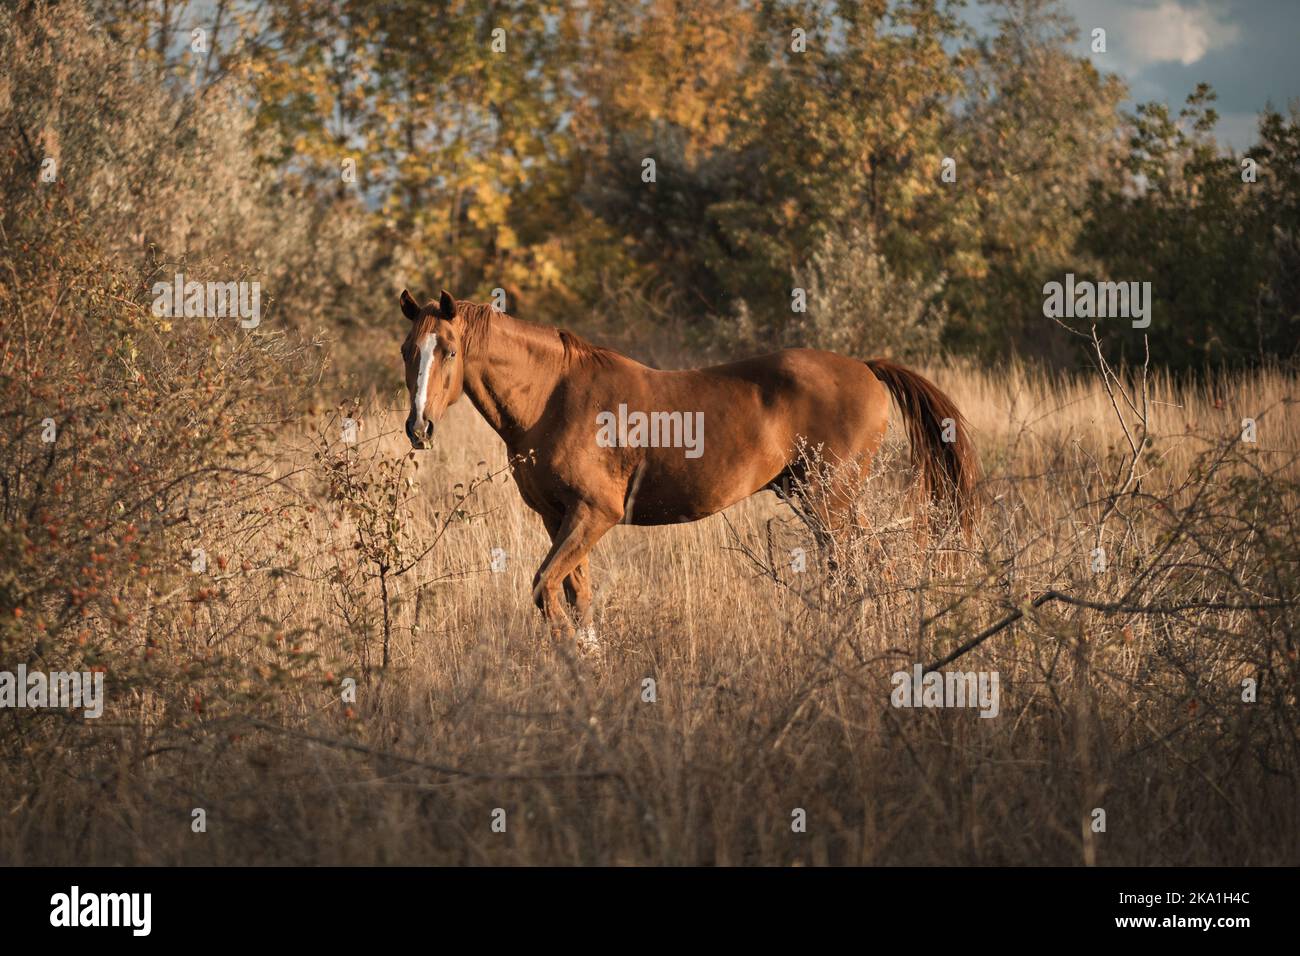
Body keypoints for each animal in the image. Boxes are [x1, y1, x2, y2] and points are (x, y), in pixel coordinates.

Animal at [398, 289, 978, 641]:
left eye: (449, 350)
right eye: (408, 350)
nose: (418, 428)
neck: (554, 397)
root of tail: (865, 367)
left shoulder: (594, 514)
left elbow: (544, 588)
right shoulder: (558, 517)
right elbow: (576, 594)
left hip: (831, 497)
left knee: (861, 564)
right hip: (818, 500)